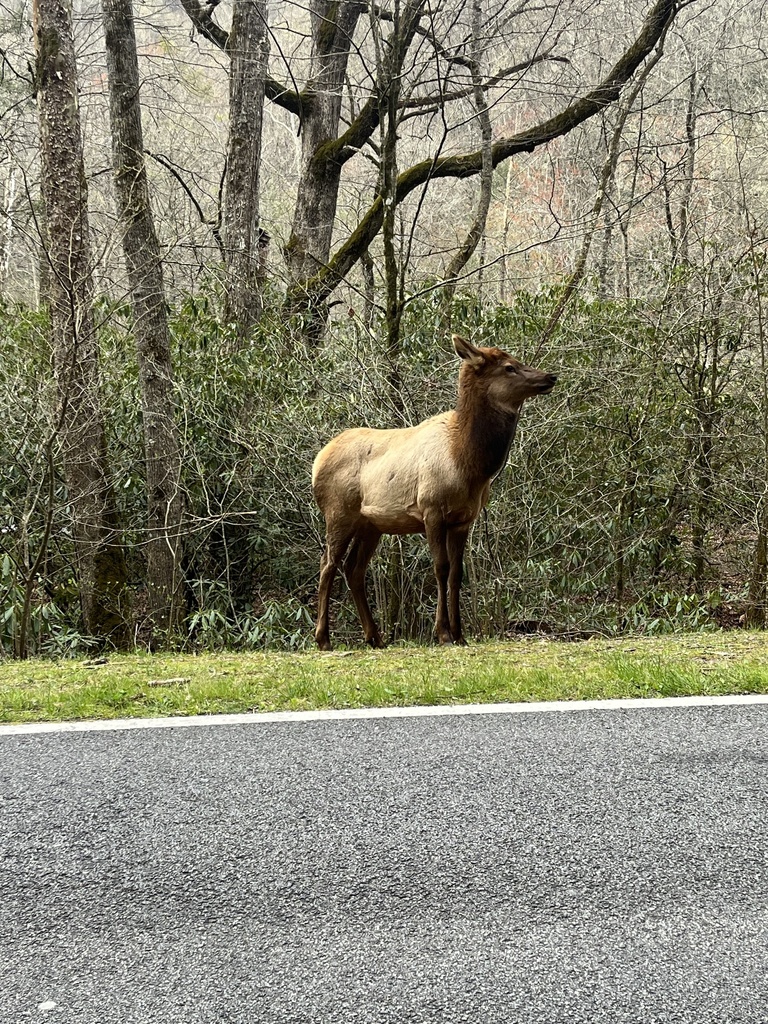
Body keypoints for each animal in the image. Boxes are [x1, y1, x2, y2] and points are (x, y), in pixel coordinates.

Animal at [311, 334, 557, 650]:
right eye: (509, 367)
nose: (550, 376)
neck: (469, 464)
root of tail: (317, 462)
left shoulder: (464, 519)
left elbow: (457, 573)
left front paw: (460, 634)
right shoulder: (431, 509)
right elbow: (440, 567)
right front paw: (442, 633)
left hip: (371, 524)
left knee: (354, 569)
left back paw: (375, 637)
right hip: (338, 512)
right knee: (328, 564)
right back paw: (323, 639)